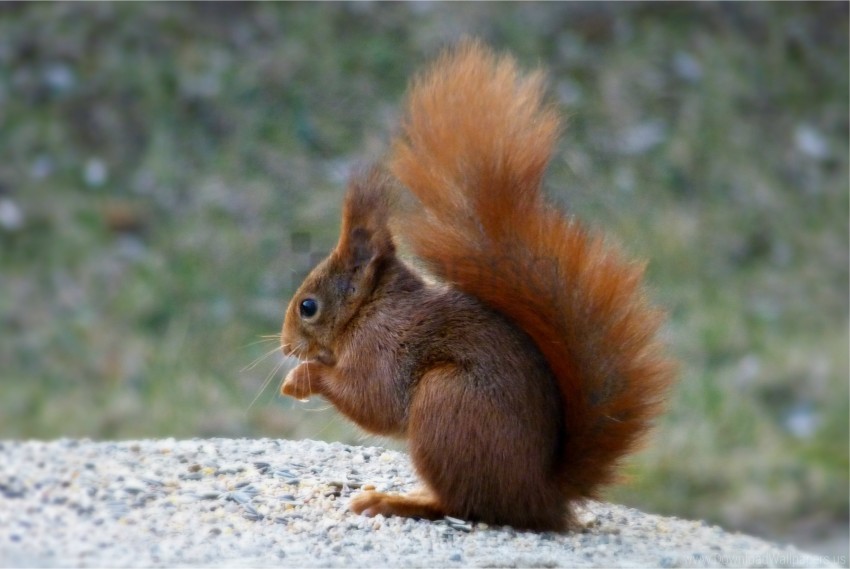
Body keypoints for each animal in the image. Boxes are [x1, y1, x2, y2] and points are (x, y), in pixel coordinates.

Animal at [279, 40, 676, 532]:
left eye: (308, 306)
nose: (285, 346)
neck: (369, 310)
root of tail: (541, 496)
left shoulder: (385, 349)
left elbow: (373, 401)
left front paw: (302, 377)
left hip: (447, 403)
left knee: (462, 504)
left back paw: (397, 502)